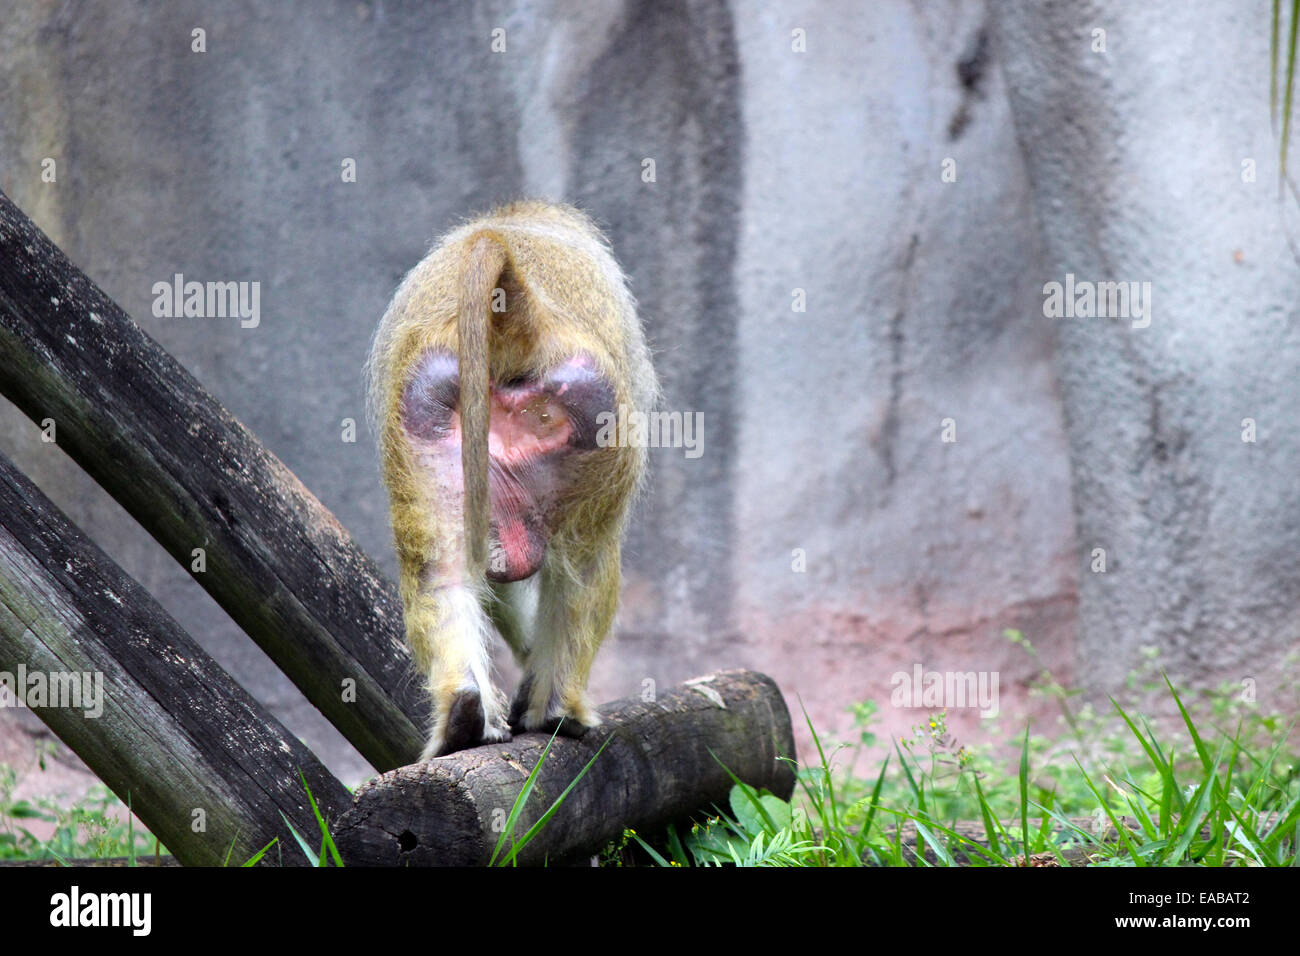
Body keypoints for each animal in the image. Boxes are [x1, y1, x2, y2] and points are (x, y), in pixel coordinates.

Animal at [367, 201, 658, 760]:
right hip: (590, 405)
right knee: (587, 564)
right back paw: (561, 710)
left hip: (428, 405)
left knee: (441, 568)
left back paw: (463, 712)